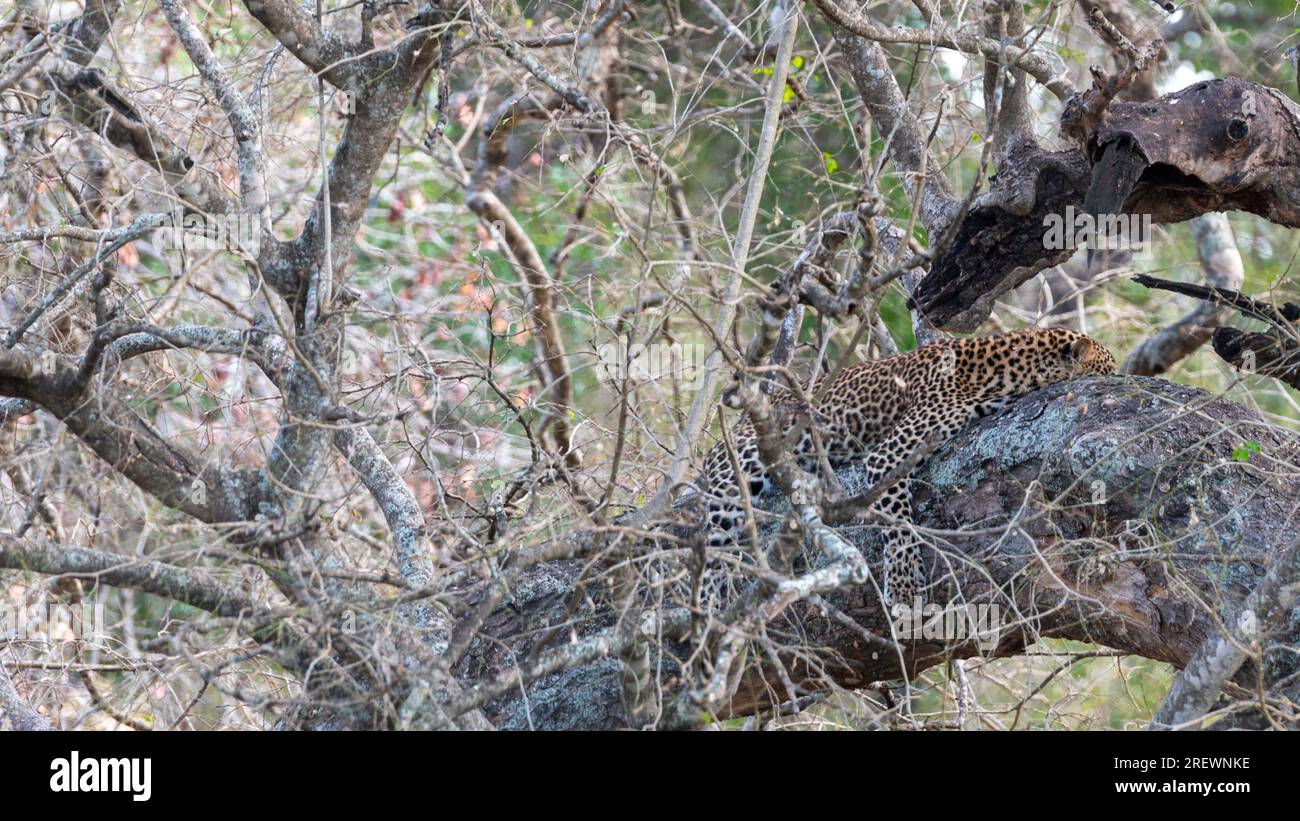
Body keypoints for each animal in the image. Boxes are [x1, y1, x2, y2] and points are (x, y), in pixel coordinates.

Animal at [694, 327, 1117, 610]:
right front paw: (902, 587)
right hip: (738, 467)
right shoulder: (889, 454)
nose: (1123, 376)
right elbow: (897, 521)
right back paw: (707, 609)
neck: (1008, 371)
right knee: (711, 546)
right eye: (1110, 369)